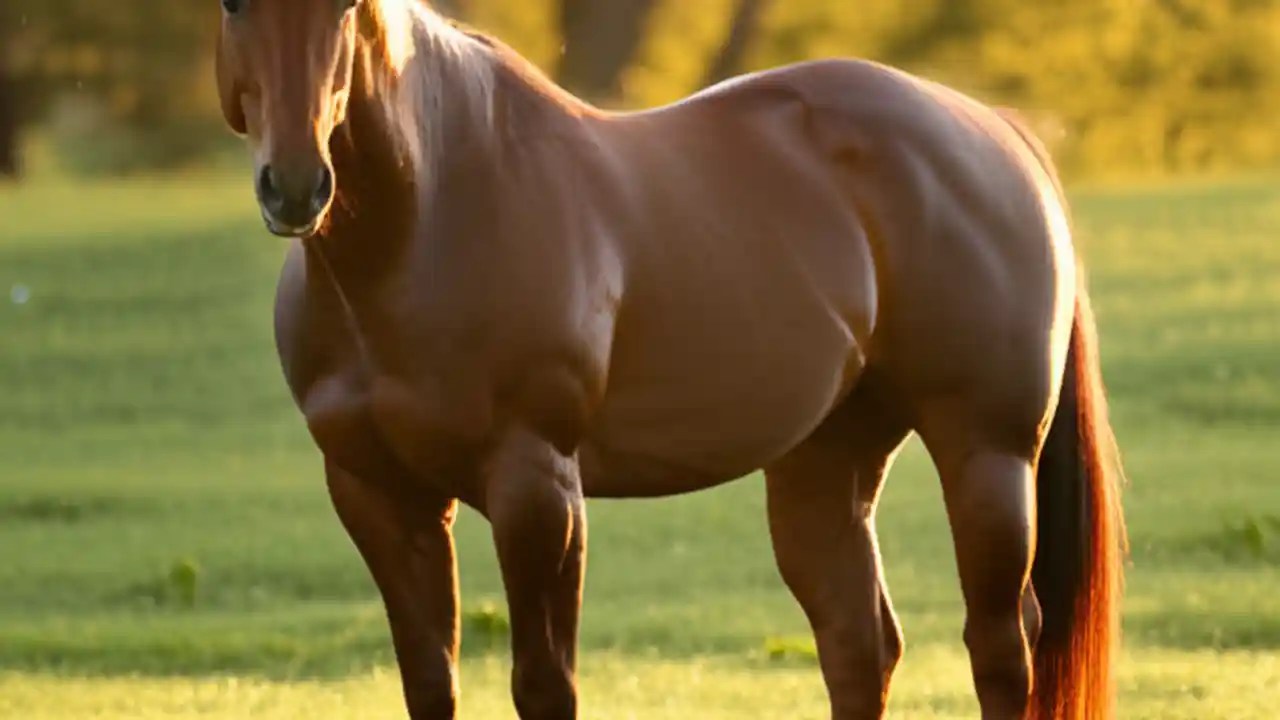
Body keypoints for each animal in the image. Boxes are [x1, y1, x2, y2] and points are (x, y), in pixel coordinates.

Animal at [214, 1, 1125, 718]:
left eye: (345, 4)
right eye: (232, 0)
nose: (295, 185)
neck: (428, 222)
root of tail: (997, 130)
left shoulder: (537, 487)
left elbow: (544, 685)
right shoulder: (379, 496)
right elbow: (429, 685)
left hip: (987, 454)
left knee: (1001, 645)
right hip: (827, 462)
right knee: (859, 644)